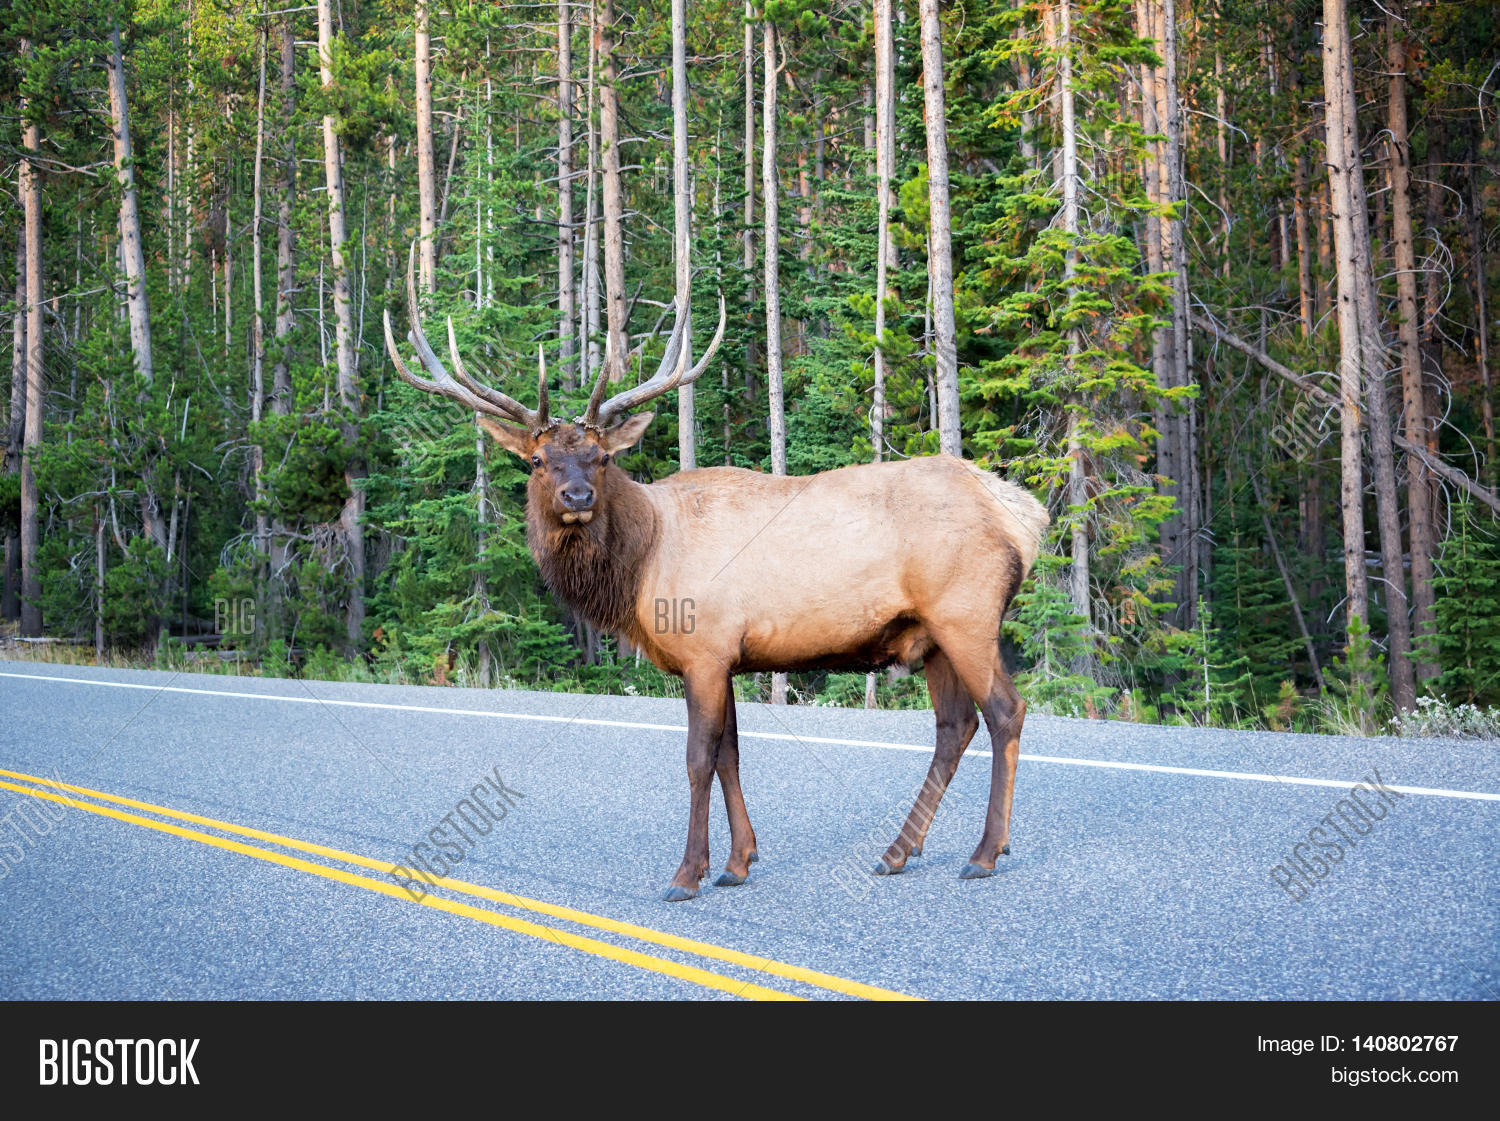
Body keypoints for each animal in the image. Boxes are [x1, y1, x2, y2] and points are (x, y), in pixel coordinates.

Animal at [385, 261, 1049, 902]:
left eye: (603, 458)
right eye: (537, 460)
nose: (577, 496)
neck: (639, 565)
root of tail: (1025, 513)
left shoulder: (703, 652)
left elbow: (698, 759)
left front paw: (686, 875)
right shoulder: (726, 655)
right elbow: (731, 755)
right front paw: (737, 863)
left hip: (966, 613)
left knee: (1005, 711)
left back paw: (985, 853)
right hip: (928, 635)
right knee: (954, 727)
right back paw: (897, 852)